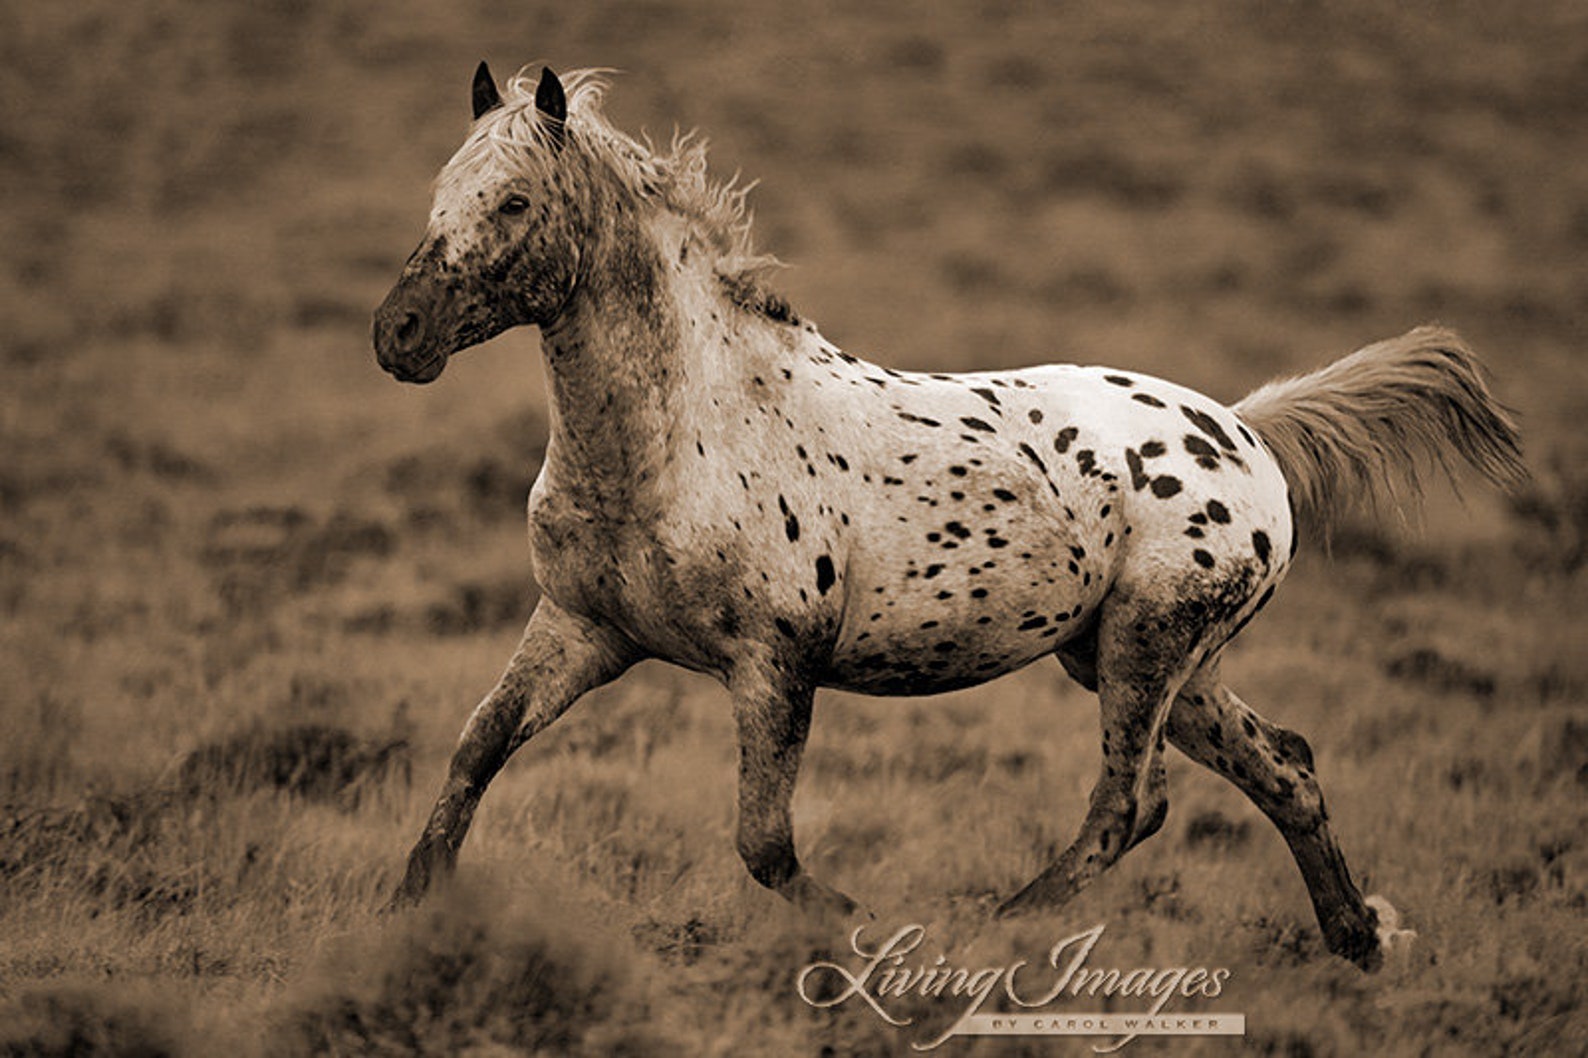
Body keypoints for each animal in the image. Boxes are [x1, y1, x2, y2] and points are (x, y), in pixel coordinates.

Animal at [372, 63, 1524, 971]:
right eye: (442, 190)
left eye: (514, 202)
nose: (398, 333)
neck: (679, 437)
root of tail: (1245, 429)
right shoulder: (583, 627)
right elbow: (476, 748)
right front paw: (402, 909)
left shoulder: (773, 662)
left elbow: (763, 843)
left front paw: (867, 925)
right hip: (1148, 660)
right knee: (1285, 766)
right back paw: (1359, 940)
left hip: (1148, 647)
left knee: (1129, 806)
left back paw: (999, 930)